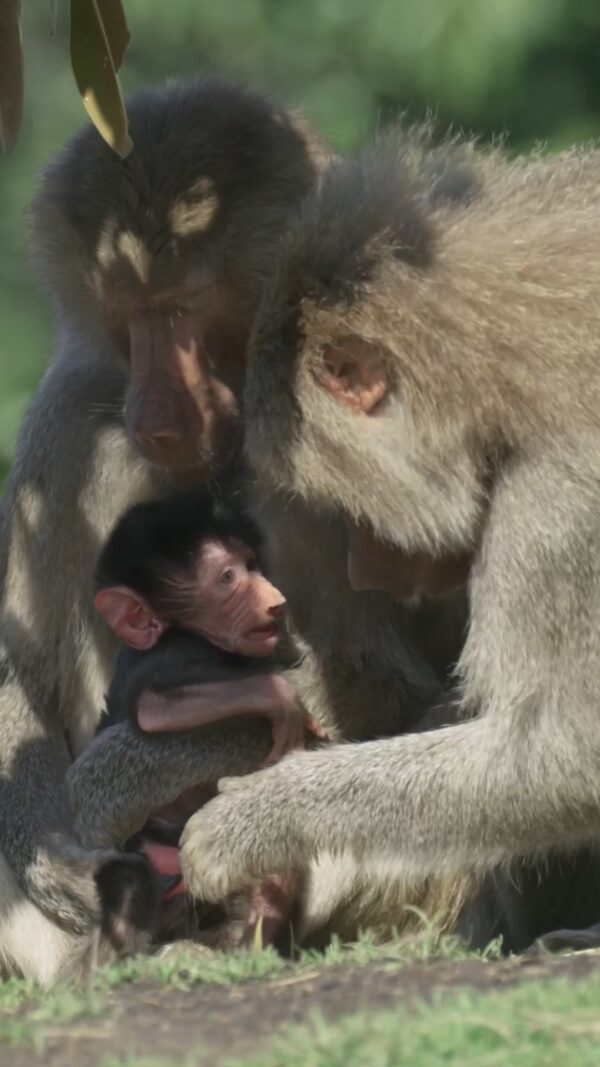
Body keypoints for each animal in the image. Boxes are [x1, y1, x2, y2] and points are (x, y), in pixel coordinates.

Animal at [0, 75, 334, 985]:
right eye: (128, 310)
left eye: (184, 306)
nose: (153, 413)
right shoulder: (69, 422)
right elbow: (22, 663)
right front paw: (52, 860)